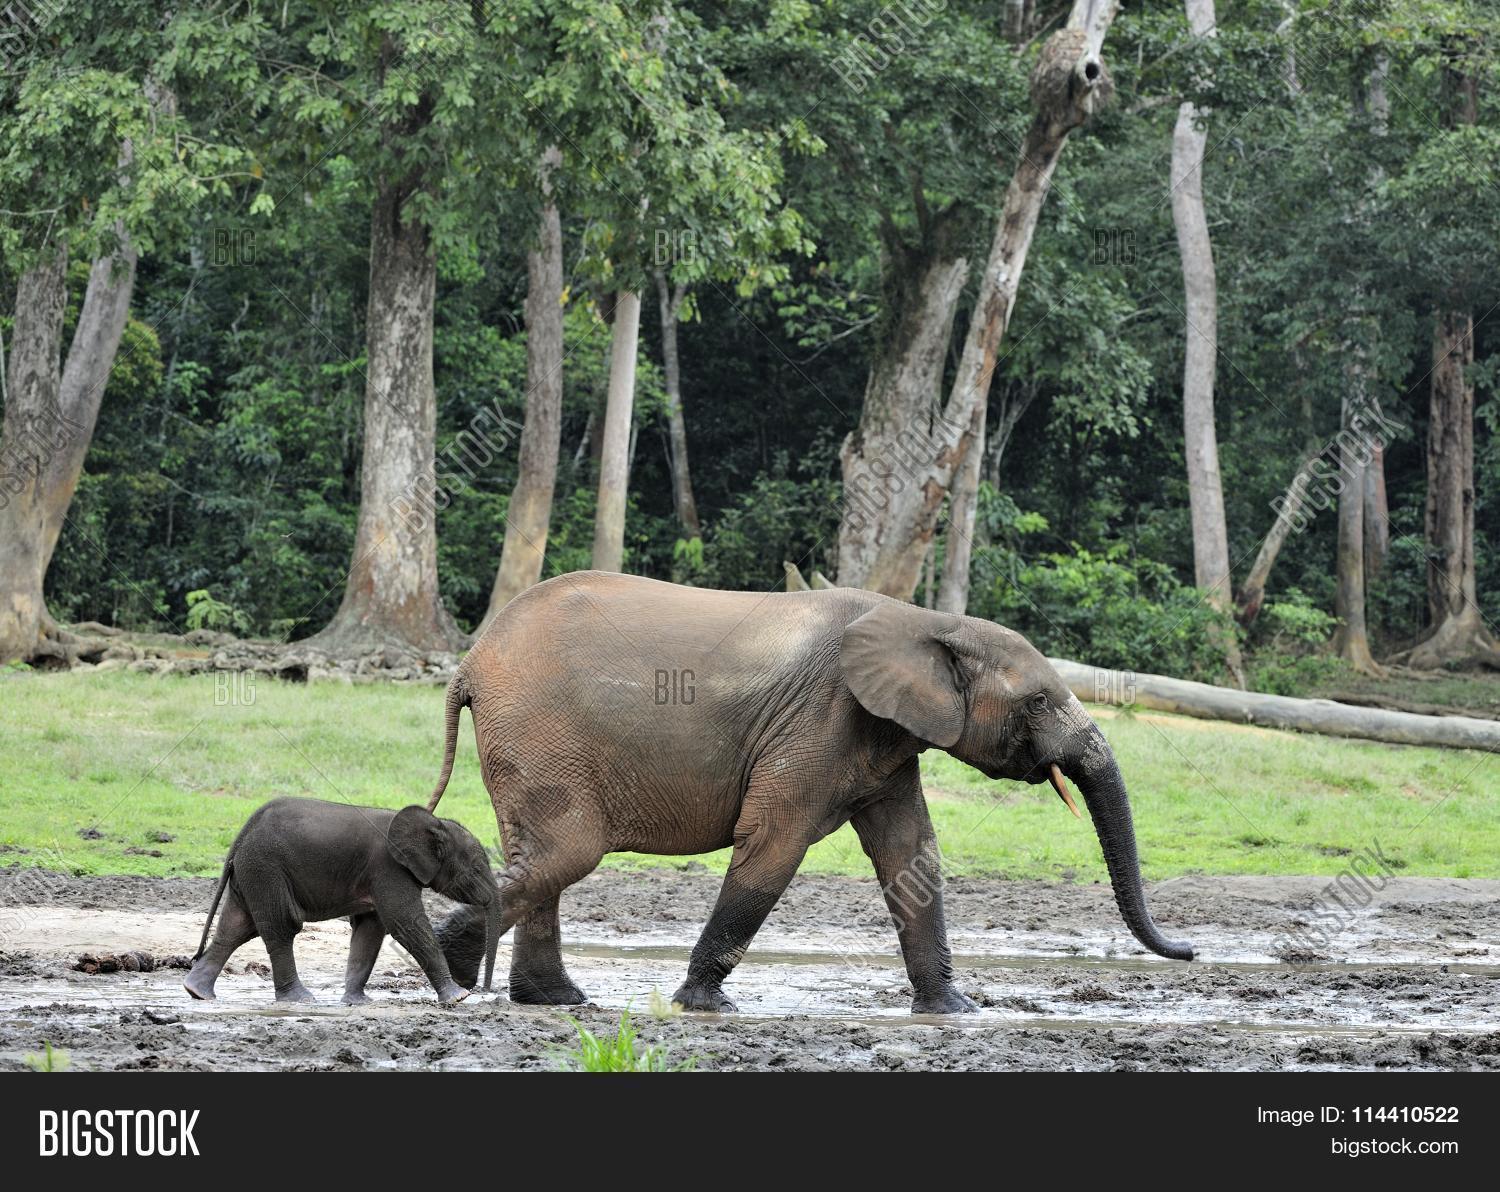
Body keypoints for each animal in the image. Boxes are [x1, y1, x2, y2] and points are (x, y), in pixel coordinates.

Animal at [183, 798, 502, 1005]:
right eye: (476, 869)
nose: (485, 991)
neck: (434, 823)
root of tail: (243, 833)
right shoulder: (388, 869)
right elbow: (406, 925)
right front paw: (458, 998)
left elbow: (369, 932)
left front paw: (357, 1002)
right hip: (265, 868)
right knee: (282, 926)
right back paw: (299, 1000)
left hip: (251, 872)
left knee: (236, 927)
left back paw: (197, 992)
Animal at [425, 571, 1193, 1014]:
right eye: (1037, 701)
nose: (1186, 951)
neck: (923, 621)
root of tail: (469, 663)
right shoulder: (821, 718)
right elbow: (774, 843)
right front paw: (705, 1006)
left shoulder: (884, 736)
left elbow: (912, 855)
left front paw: (956, 1012)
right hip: (540, 732)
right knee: (570, 851)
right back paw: (459, 966)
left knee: (545, 857)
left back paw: (552, 1000)